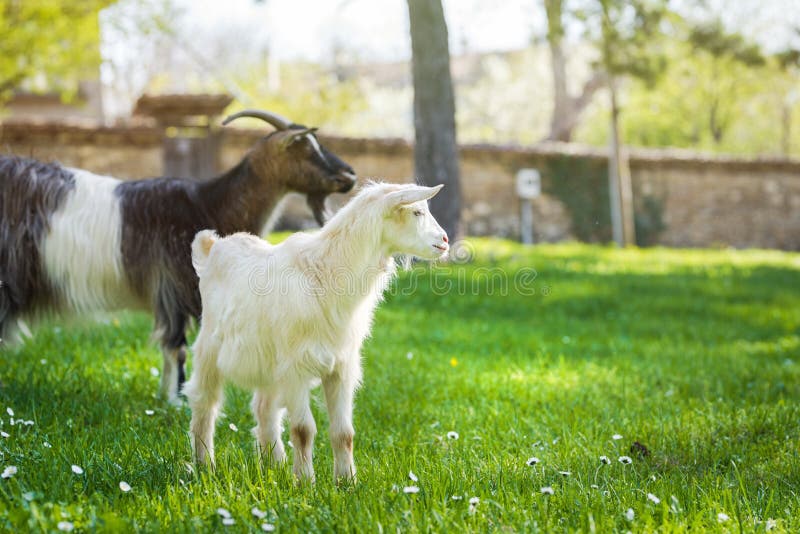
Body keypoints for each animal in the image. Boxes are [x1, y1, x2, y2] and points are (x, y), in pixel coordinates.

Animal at [0, 110, 356, 402]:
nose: (349, 176)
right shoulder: (174, 286)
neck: (209, 204)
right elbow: (177, 346)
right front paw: (177, 398)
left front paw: (166, 396)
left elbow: (171, 347)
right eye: (306, 148)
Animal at [184, 182, 449, 482]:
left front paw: (347, 482)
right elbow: (303, 430)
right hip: (210, 347)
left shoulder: (341, 367)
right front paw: (305, 483)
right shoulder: (295, 368)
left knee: (264, 409)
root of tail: (213, 246)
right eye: (417, 212)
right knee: (205, 402)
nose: (444, 241)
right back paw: (205, 466)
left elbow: (344, 433)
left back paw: (274, 467)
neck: (325, 273)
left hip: (270, 362)